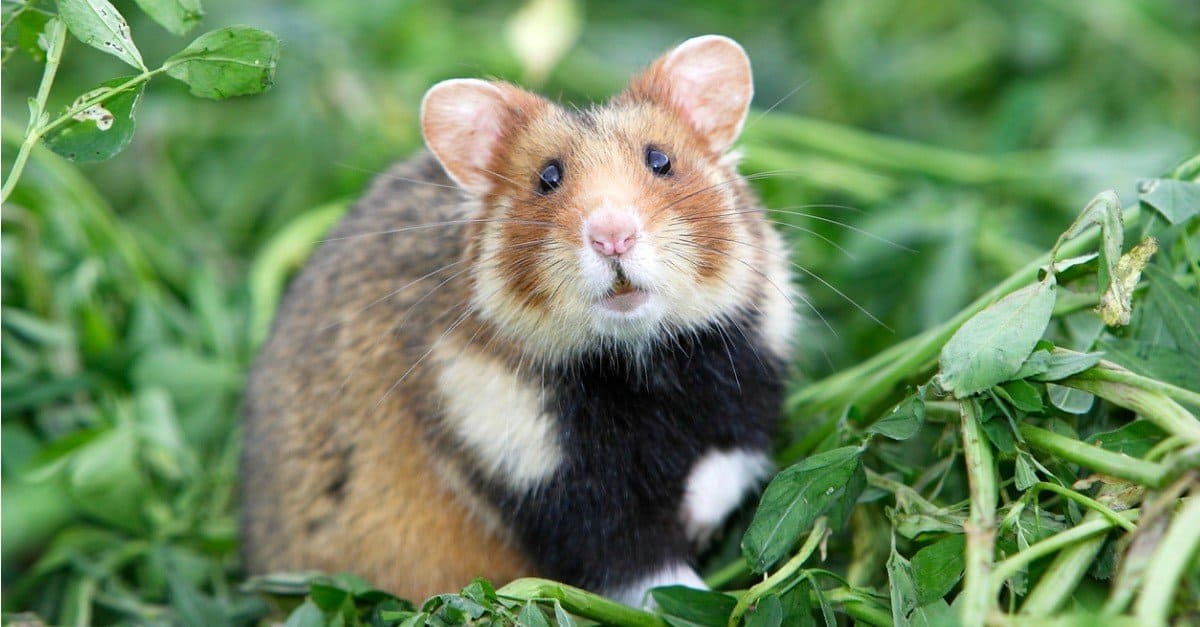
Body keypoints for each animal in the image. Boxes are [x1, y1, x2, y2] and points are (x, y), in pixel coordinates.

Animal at [240, 35, 798, 606]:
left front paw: (696, 520)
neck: (634, 358)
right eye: (547, 178)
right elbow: (642, 568)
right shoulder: (535, 466)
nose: (612, 238)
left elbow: (732, 460)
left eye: (660, 160)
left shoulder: (752, 375)